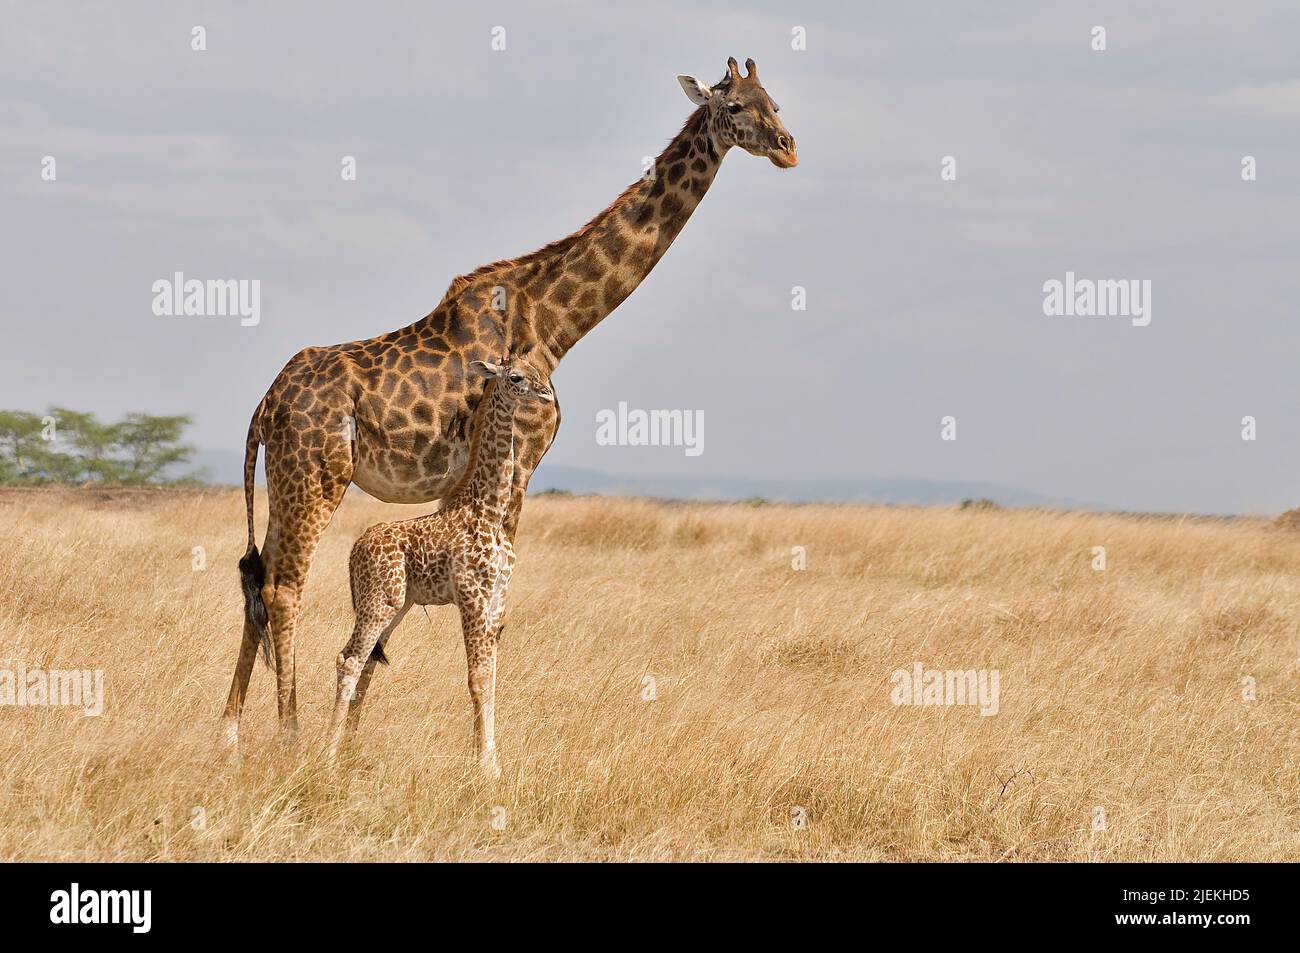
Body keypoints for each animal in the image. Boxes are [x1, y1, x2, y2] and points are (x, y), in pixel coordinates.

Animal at [325, 359, 553, 777]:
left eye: (538, 370)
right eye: (516, 377)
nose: (546, 393)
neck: (490, 508)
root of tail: (355, 550)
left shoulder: (498, 597)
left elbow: (492, 677)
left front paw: (493, 761)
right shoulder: (471, 594)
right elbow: (477, 677)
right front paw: (486, 768)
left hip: (398, 605)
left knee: (365, 663)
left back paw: (349, 750)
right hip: (379, 600)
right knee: (348, 660)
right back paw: (329, 755)